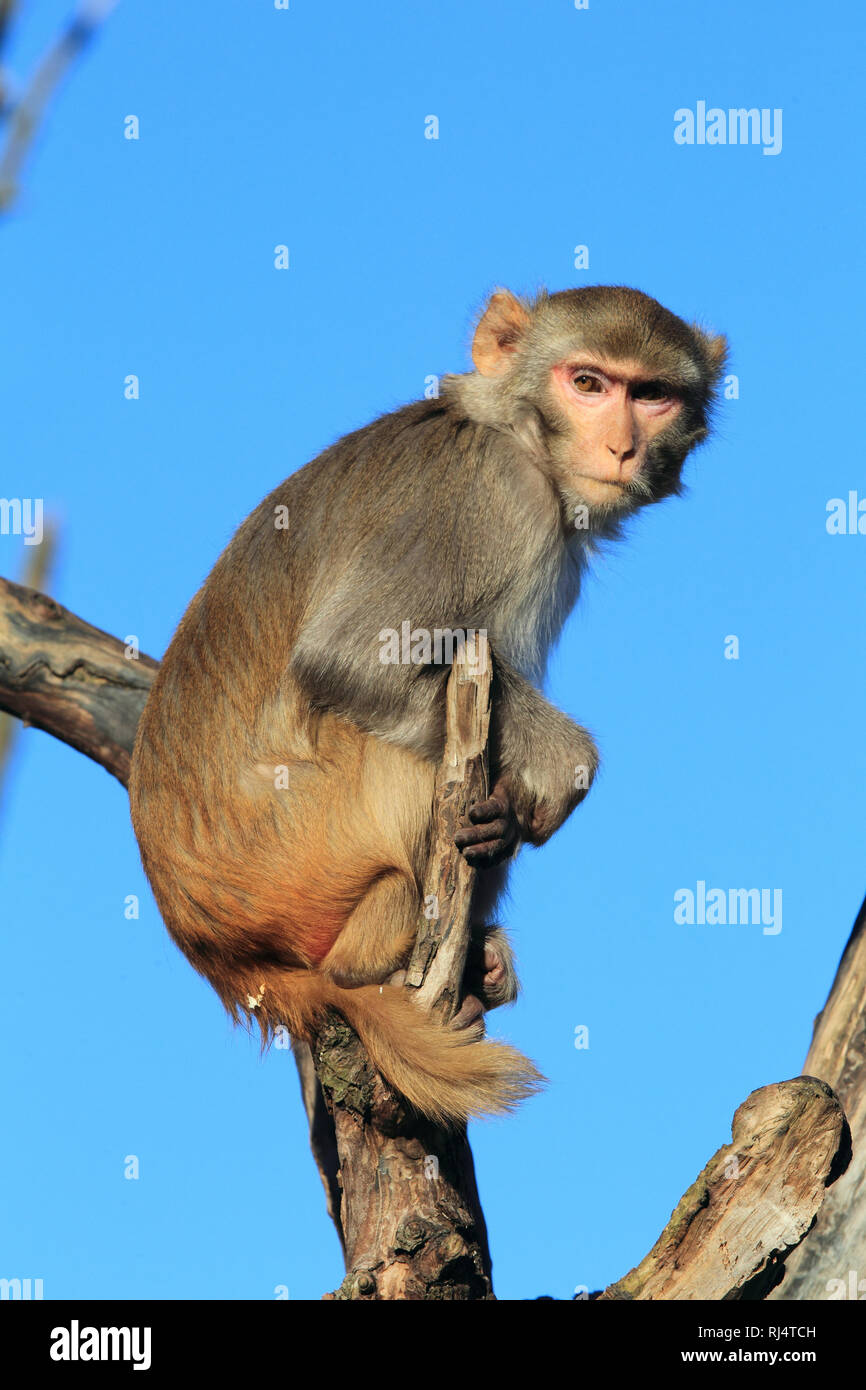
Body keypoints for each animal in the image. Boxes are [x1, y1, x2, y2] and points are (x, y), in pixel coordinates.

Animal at [129, 285, 727, 1127]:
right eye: (588, 383)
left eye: (651, 395)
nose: (620, 447)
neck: (510, 430)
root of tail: (221, 959)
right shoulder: (492, 499)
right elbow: (349, 658)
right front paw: (566, 767)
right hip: (301, 852)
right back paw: (366, 960)